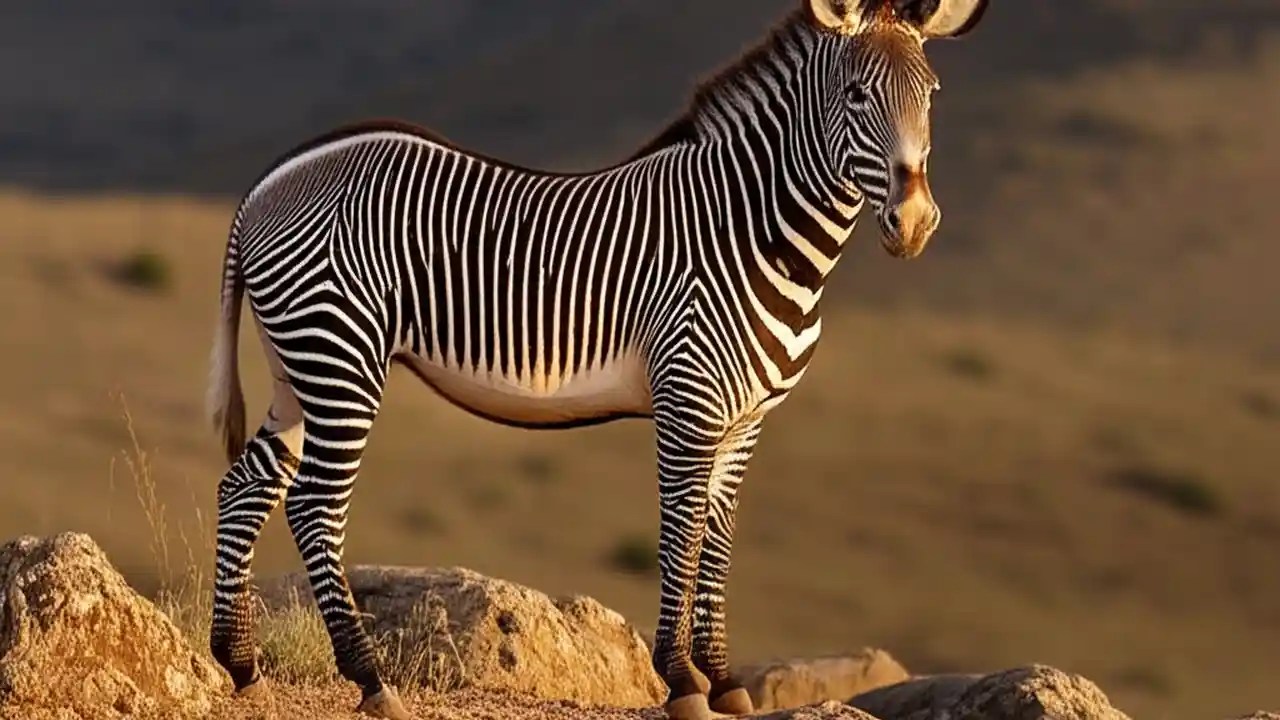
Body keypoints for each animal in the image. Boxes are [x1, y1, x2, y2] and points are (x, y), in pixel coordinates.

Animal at [204, 1, 988, 718]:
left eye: (932, 94)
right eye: (855, 94)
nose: (913, 223)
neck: (758, 232)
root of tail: (265, 187)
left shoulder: (747, 418)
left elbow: (719, 536)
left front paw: (725, 681)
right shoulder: (689, 397)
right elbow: (682, 527)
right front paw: (682, 681)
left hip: (299, 369)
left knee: (246, 486)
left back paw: (240, 666)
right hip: (341, 354)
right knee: (313, 504)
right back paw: (371, 681)